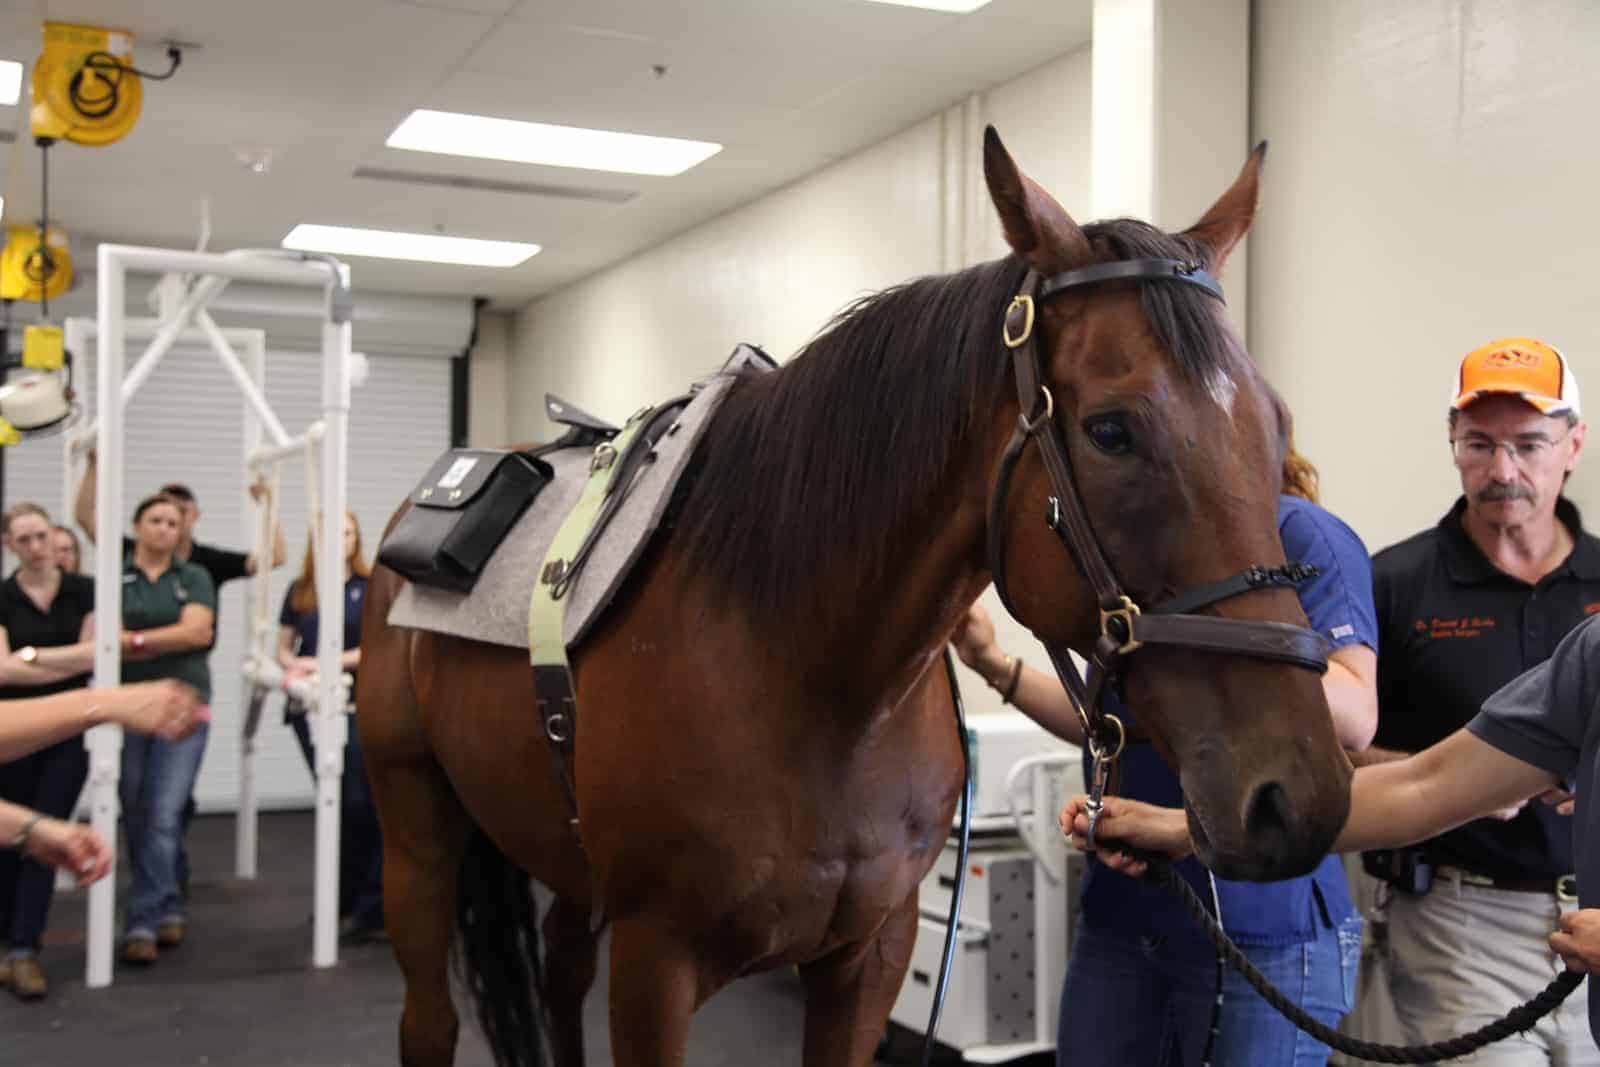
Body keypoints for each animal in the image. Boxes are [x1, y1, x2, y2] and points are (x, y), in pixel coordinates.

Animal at [357, 127, 1353, 1067]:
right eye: (1112, 430)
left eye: (1276, 426)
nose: (1296, 793)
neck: (804, 670)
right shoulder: (653, 964)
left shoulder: (869, 955)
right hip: (416, 835)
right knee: (427, 1018)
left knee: (560, 978)